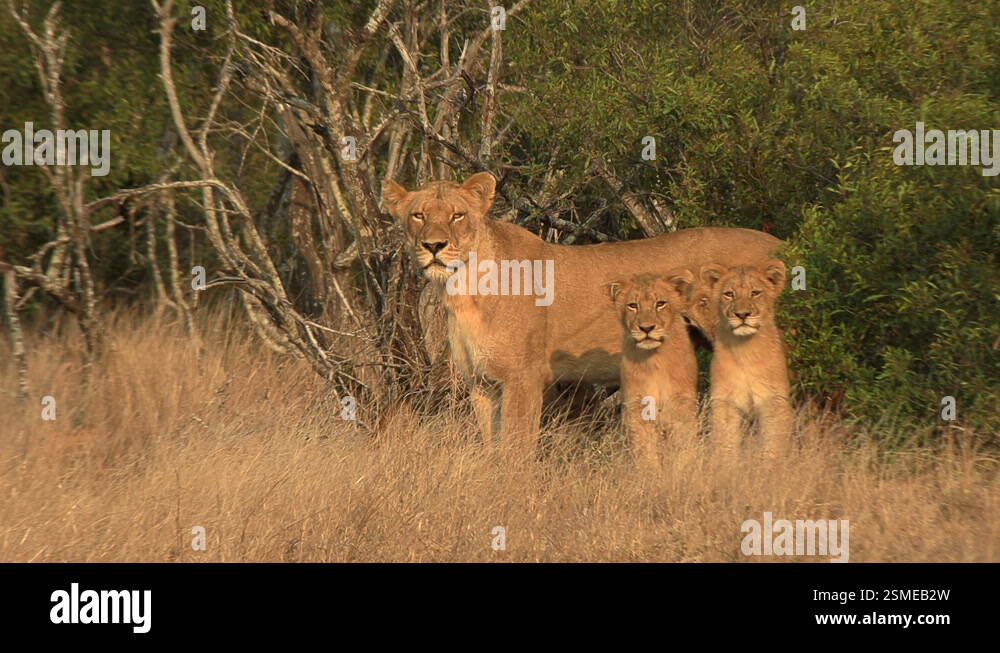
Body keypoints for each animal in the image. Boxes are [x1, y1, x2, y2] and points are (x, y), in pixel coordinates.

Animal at [610, 271, 699, 468]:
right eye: (633, 306)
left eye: (660, 304)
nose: (646, 328)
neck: (655, 359)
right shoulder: (638, 407)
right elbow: (645, 450)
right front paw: (649, 473)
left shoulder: (681, 405)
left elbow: (683, 447)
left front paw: (683, 471)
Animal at [697, 259, 793, 458]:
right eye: (729, 294)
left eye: (755, 293)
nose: (742, 315)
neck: (745, 351)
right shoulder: (725, 401)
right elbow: (726, 444)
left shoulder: (774, 401)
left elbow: (774, 445)